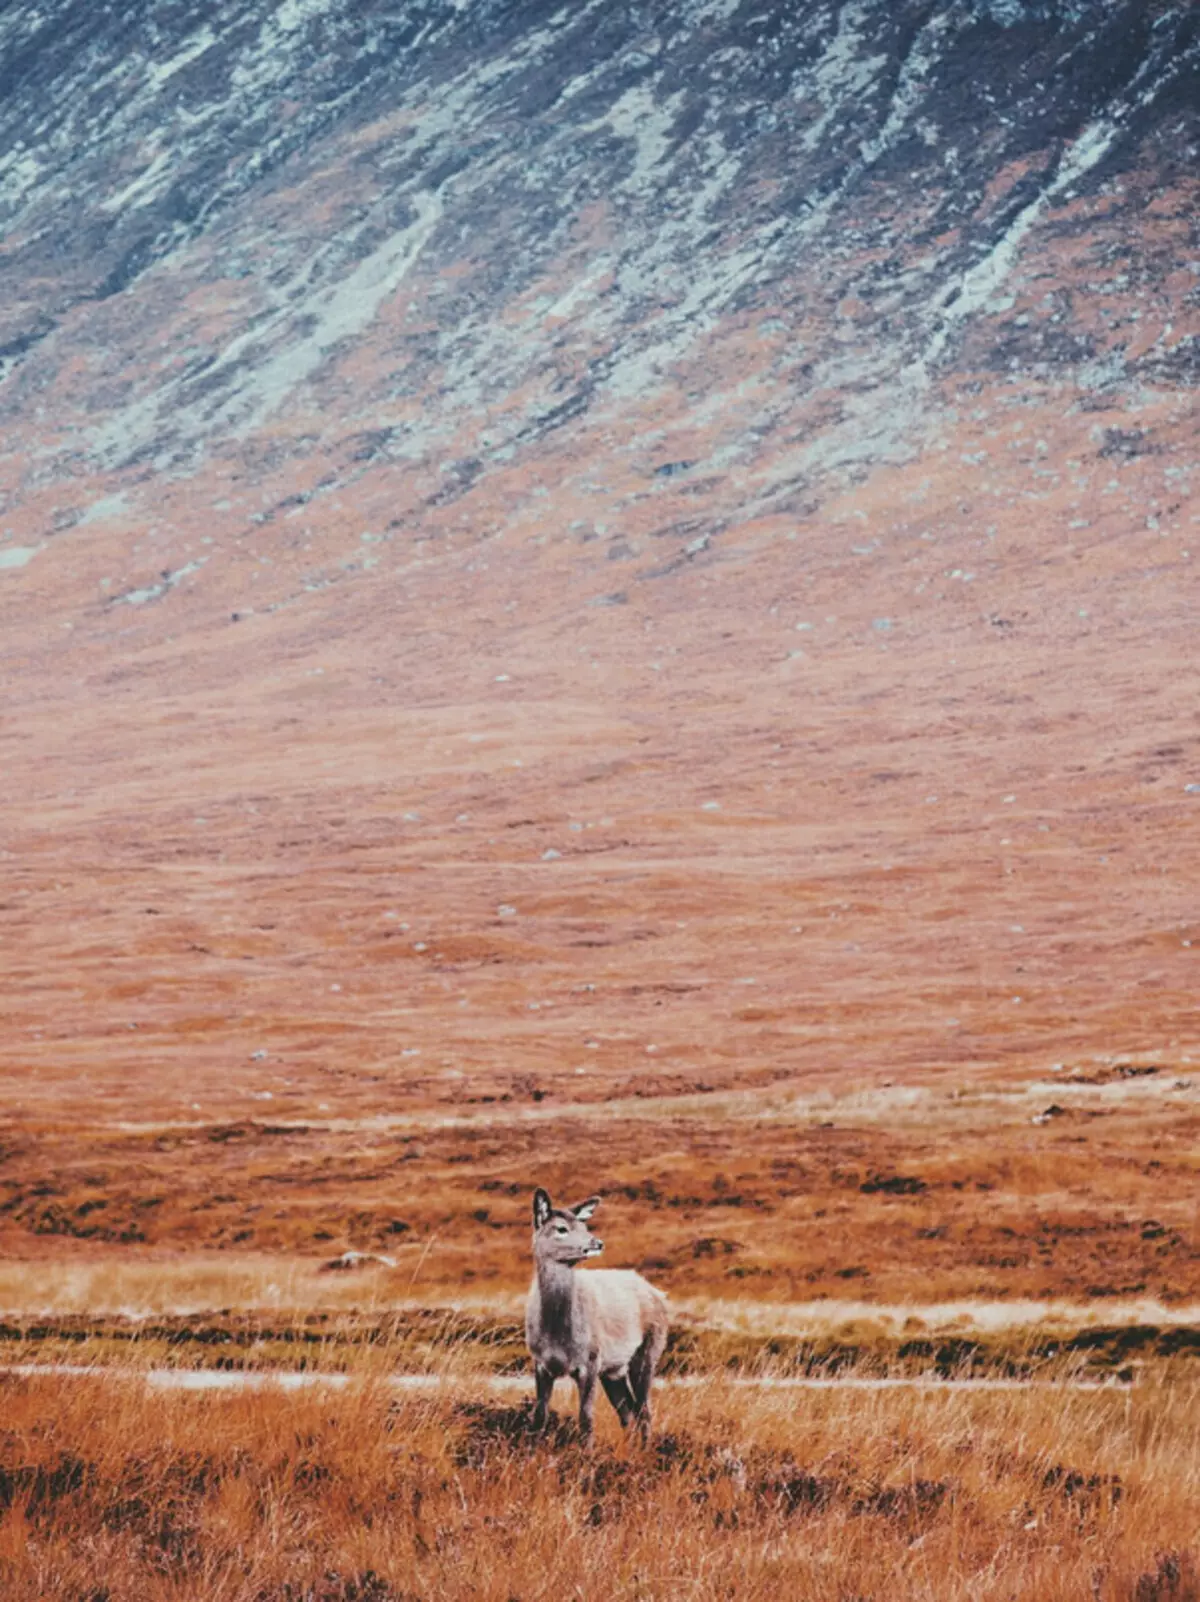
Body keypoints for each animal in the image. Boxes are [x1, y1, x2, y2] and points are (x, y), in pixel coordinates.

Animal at [525, 1185, 669, 1448]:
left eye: (584, 1226)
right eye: (561, 1228)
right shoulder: (540, 1362)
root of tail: (659, 1294)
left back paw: (645, 1450)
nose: (597, 1243)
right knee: (627, 1411)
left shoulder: (591, 1360)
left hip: (648, 1350)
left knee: (644, 1409)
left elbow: (586, 1418)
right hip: (613, 1370)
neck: (556, 1333)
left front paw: (587, 1453)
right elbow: (539, 1415)